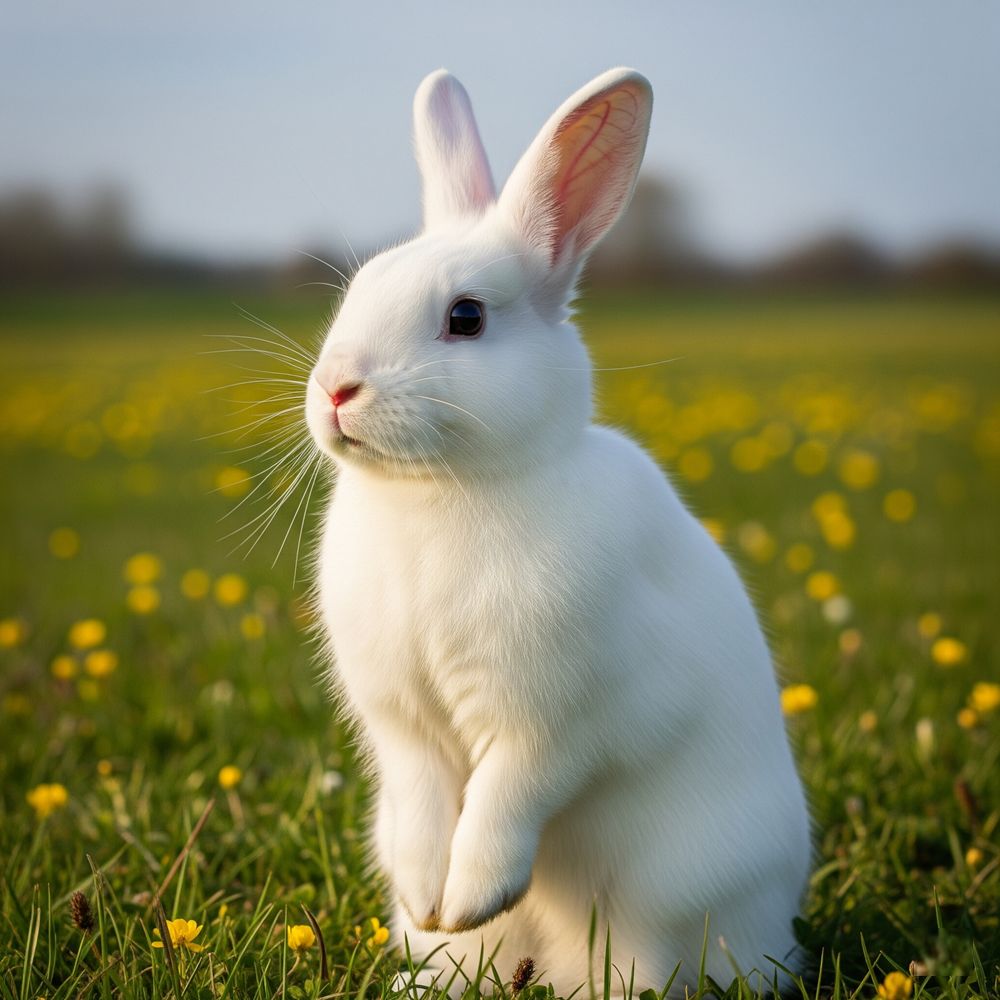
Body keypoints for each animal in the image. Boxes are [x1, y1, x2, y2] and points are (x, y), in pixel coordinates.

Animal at [304, 66, 811, 996]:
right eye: (358, 292)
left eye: (466, 317)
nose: (336, 390)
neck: (442, 492)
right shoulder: (404, 728)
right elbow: (424, 807)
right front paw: (432, 898)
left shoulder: (557, 723)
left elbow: (506, 799)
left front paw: (470, 894)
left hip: (665, 910)